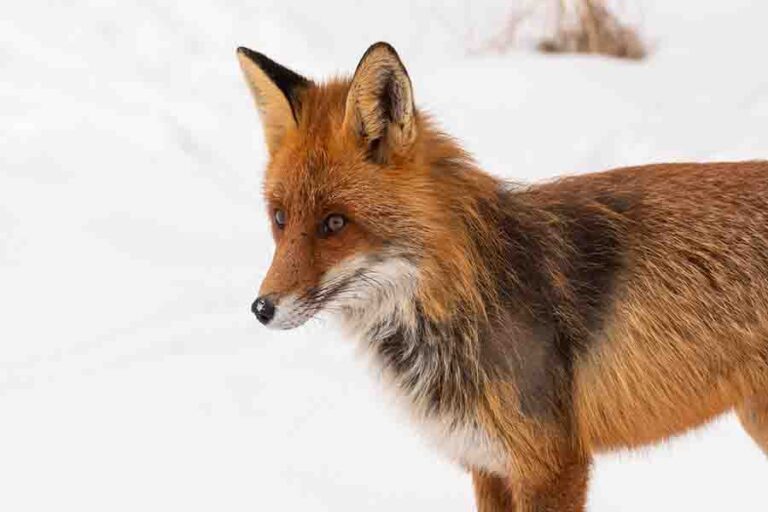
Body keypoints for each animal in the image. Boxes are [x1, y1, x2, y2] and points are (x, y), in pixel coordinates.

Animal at [237, 42, 768, 511]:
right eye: (279, 218)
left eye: (334, 223)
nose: (262, 308)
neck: (466, 289)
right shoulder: (487, 464)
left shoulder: (551, 465)